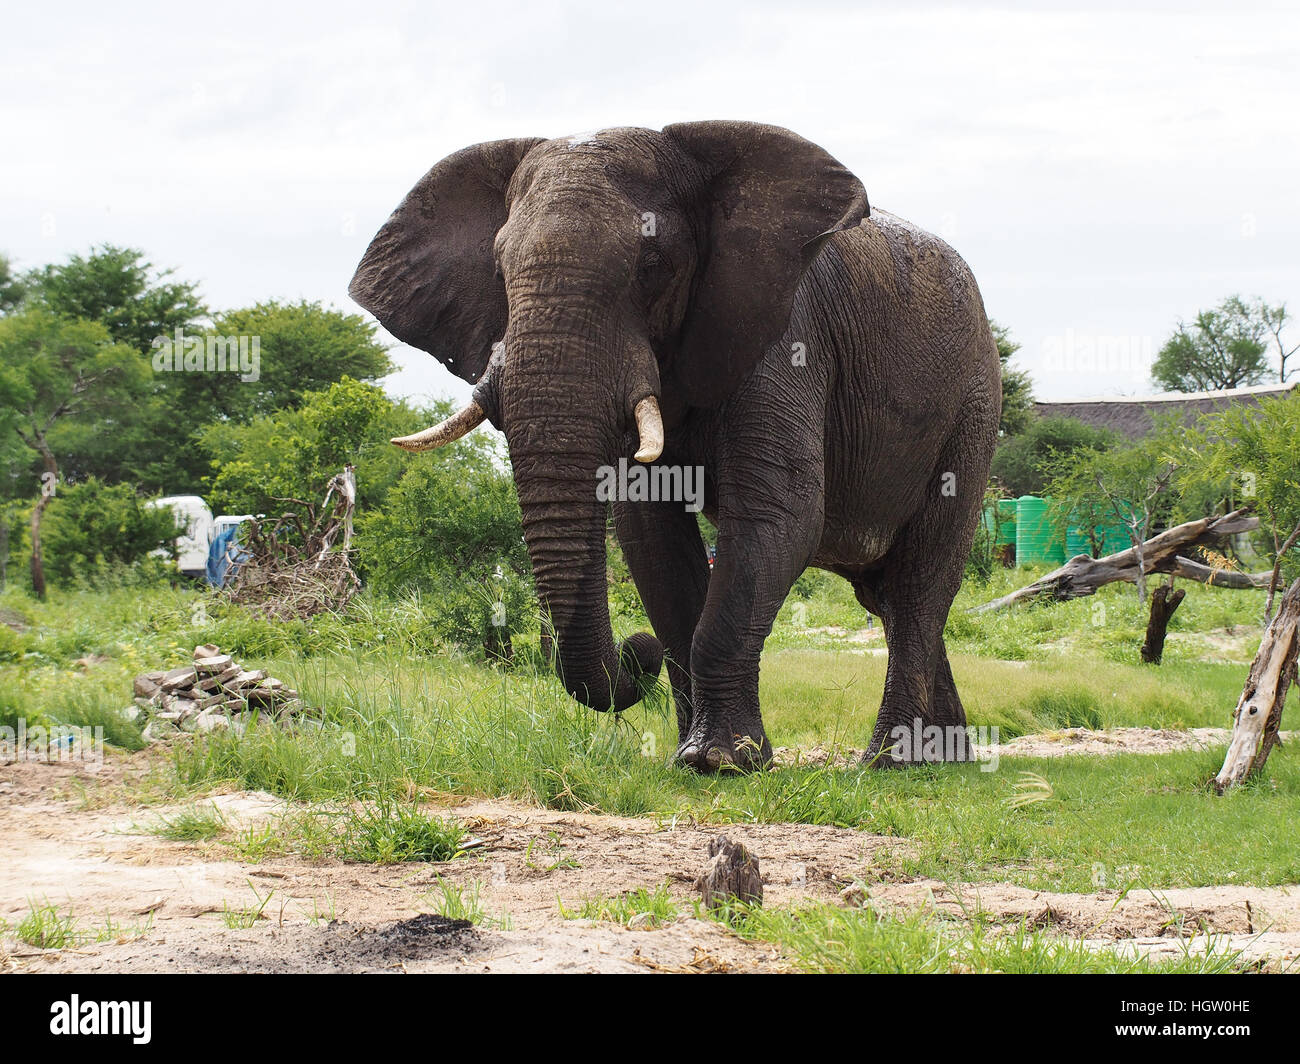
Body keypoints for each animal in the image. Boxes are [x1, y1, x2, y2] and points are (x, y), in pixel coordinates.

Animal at [350, 121, 1001, 773]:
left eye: (652, 264)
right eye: (499, 266)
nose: (634, 653)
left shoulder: (788, 331)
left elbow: (778, 515)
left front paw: (721, 761)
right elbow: (651, 535)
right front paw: (690, 757)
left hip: (973, 407)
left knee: (918, 585)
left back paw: (893, 762)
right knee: (884, 595)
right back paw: (947, 756)